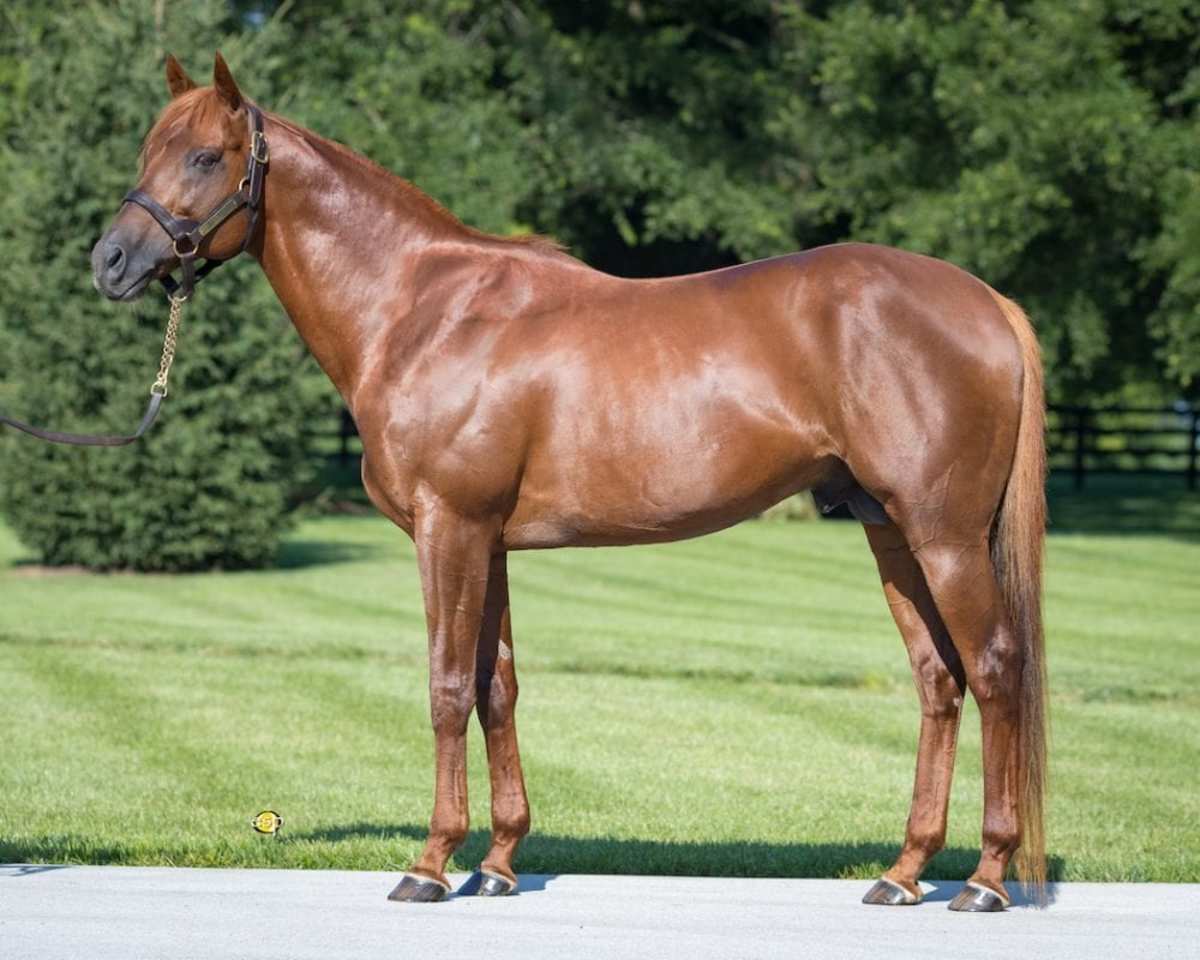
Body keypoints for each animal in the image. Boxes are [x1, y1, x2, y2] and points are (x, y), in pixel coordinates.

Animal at [92, 53, 1047, 912]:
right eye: (148, 150)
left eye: (205, 157)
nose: (109, 261)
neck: (423, 312)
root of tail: (987, 303)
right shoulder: (489, 543)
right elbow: (496, 688)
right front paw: (499, 863)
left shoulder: (449, 529)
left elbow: (446, 688)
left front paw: (430, 863)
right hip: (889, 531)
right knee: (939, 681)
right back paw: (903, 872)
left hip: (944, 536)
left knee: (996, 669)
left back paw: (986, 879)